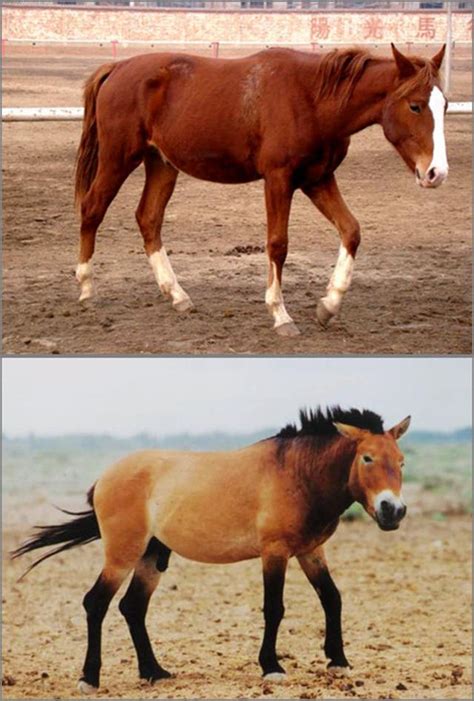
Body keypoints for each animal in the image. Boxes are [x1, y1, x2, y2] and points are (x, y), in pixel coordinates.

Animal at [13, 406, 410, 694]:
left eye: (401, 460)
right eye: (367, 458)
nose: (393, 510)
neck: (296, 472)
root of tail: (105, 477)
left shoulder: (310, 552)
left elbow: (332, 598)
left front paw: (339, 661)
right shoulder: (275, 552)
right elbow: (274, 608)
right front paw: (271, 667)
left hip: (153, 557)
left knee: (132, 607)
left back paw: (154, 672)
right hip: (122, 555)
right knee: (96, 603)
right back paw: (90, 679)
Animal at [74, 43, 447, 337]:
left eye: (444, 106)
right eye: (415, 105)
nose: (436, 173)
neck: (312, 99)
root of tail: (118, 68)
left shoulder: (317, 179)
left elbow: (351, 231)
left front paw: (328, 304)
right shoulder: (278, 180)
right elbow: (278, 245)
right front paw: (281, 315)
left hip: (162, 163)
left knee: (149, 219)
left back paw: (177, 295)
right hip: (119, 158)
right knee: (92, 209)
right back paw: (87, 289)